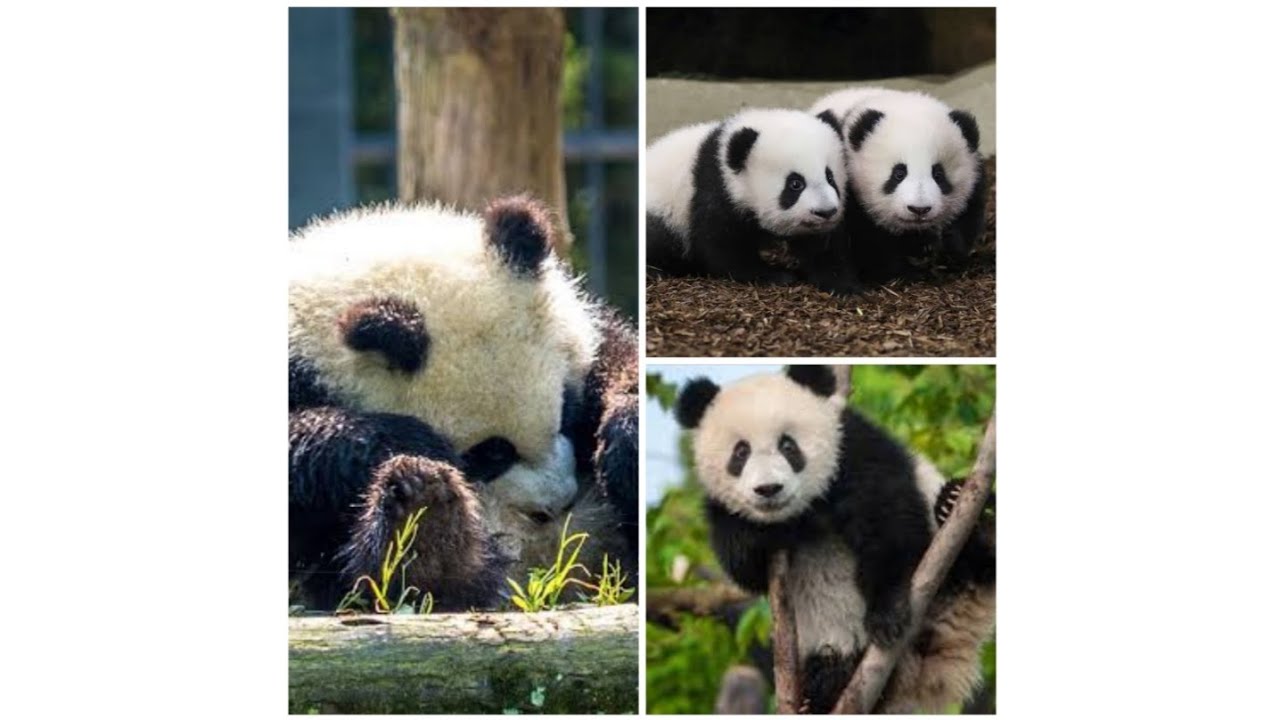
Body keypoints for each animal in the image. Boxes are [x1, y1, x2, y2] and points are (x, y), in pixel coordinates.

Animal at [288, 194, 638, 612]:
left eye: (566, 410)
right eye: (492, 452)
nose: (556, 504)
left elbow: (619, 363)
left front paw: (626, 438)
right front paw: (411, 442)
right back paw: (428, 530)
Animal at [645, 109, 861, 295]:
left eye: (830, 177)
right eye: (795, 184)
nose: (825, 212)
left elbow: (823, 246)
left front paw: (843, 286)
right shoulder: (715, 190)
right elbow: (722, 248)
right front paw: (775, 276)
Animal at [675, 366, 995, 713]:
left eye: (788, 446)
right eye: (740, 452)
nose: (769, 489)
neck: (804, 510)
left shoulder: (853, 449)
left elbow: (888, 521)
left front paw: (886, 615)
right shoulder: (720, 508)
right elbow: (743, 566)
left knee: (975, 557)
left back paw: (961, 511)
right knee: (831, 669)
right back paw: (825, 685)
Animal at [811, 88, 988, 283]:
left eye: (938, 174)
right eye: (899, 174)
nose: (919, 209)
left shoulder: (974, 182)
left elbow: (965, 221)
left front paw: (946, 255)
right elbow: (870, 242)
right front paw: (903, 272)